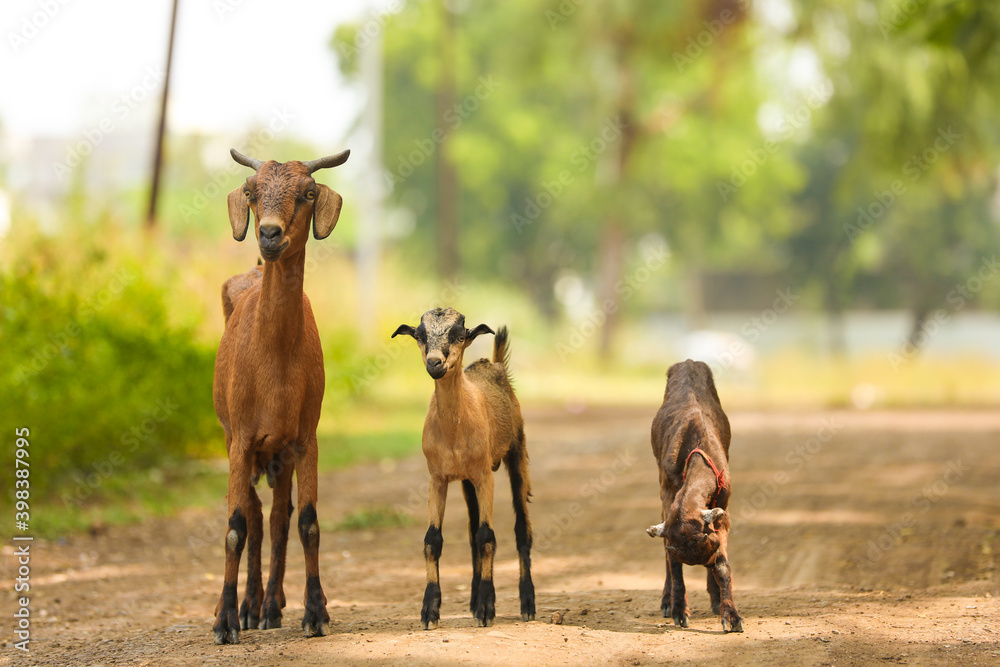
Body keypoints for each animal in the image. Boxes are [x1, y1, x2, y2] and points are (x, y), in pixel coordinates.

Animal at [211, 147, 349, 644]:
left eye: (308, 193)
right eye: (251, 192)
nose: (269, 234)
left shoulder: (305, 438)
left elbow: (307, 523)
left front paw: (315, 613)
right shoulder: (241, 440)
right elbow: (235, 526)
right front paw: (226, 622)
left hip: (280, 452)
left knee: (276, 518)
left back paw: (270, 605)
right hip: (239, 441)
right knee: (253, 515)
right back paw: (246, 607)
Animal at [392, 308, 535, 629]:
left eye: (459, 336)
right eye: (420, 336)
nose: (435, 362)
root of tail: (494, 363)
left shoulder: (484, 476)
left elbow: (487, 537)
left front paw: (486, 609)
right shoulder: (438, 477)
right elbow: (434, 540)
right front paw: (430, 611)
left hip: (516, 452)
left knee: (521, 529)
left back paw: (527, 604)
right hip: (467, 481)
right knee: (472, 531)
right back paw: (474, 598)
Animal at [645, 359, 743, 633]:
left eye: (710, 550)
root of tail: (688, 362)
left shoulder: (723, 511)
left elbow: (724, 568)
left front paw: (729, 613)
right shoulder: (668, 496)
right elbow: (672, 564)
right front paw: (678, 608)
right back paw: (668, 601)